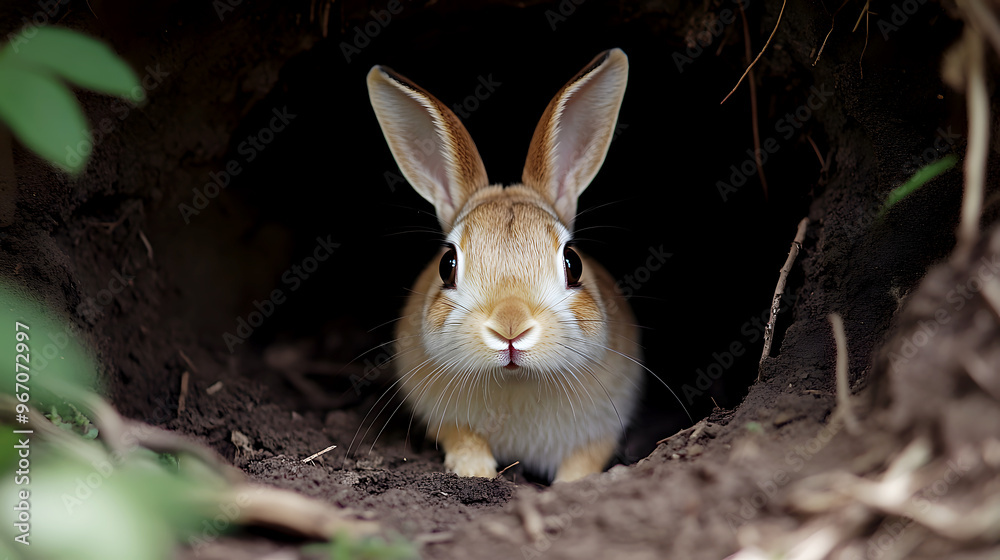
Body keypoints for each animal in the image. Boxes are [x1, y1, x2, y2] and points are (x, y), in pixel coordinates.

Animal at [366, 49, 643, 483]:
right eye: (447, 265)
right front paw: (476, 471)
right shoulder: (444, 416)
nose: (510, 328)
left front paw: (572, 484)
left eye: (573, 263)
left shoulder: (603, 425)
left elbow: (584, 459)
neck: (516, 381)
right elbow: (462, 438)